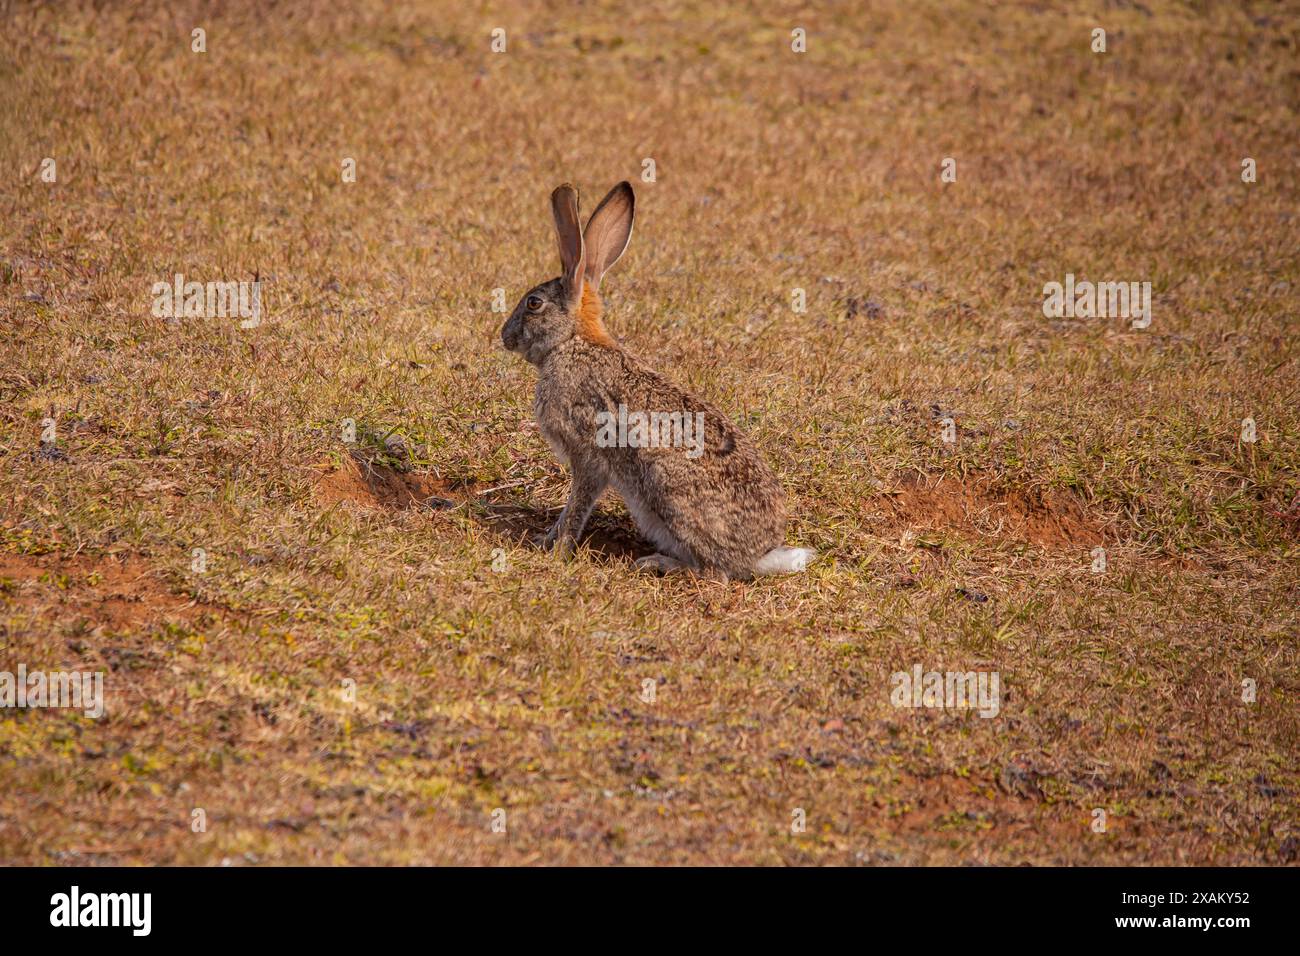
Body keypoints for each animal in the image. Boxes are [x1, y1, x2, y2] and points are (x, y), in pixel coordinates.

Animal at [500, 181, 815, 580]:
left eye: (534, 303)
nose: (504, 337)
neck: (572, 341)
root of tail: (761, 554)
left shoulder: (588, 454)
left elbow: (577, 504)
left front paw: (558, 550)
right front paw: (545, 540)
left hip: (666, 485)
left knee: (715, 571)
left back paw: (659, 562)